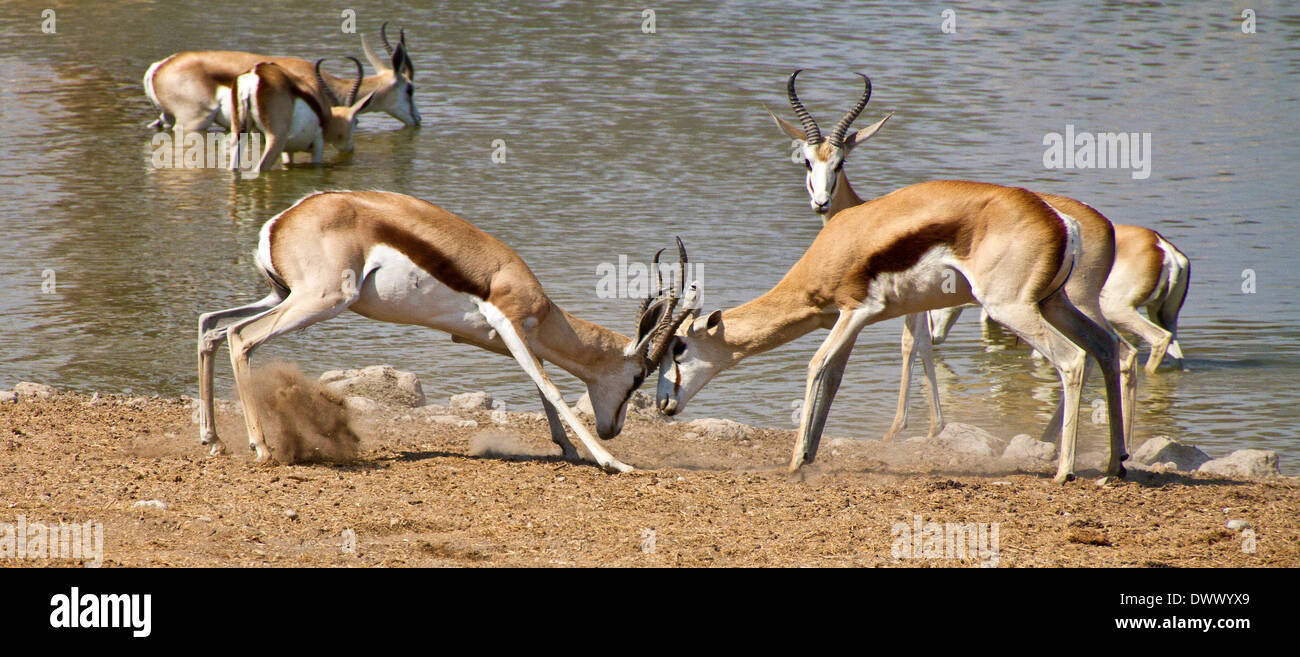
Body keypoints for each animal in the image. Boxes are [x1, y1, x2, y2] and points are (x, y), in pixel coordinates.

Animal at [197, 191, 695, 473]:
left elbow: (537, 380)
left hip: (281, 295)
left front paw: (569, 450)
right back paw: (261, 448)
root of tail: (279, 222)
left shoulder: (490, 337)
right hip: (319, 300)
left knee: (210, 328)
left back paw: (213, 440)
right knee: (241, 337)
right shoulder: (507, 323)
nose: (612, 432)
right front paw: (612, 462)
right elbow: (550, 386)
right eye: (638, 377)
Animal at [228, 57, 375, 174]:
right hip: (275, 140)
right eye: (356, 122)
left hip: (239, 133)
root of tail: (256, 73)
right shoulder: (318, 145)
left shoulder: (288, 151)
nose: (351, 148)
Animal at [655, 179, 1129, 483]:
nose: (662, 404)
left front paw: (792, 463)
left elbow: (815, 366)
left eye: (677, 348)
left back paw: (1064, 471)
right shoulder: (851, 321)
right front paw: (808, 455)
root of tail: (1059, 220)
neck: (836, 246)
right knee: (1108, 349)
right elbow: (833, 378)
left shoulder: (854, 312)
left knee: (1073, 359)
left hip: (1012, 308)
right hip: (1055, 304)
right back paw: (1113, 466)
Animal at [767, 70, 1147, 446]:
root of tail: (1094, 224)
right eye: (807, 161)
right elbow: (923, 344)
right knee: (1114, 352)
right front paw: (931, 426)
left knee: (1108, 353)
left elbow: (912, 344)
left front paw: (906, 428)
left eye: (840, 162)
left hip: (1074, 303)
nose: (821, 202)